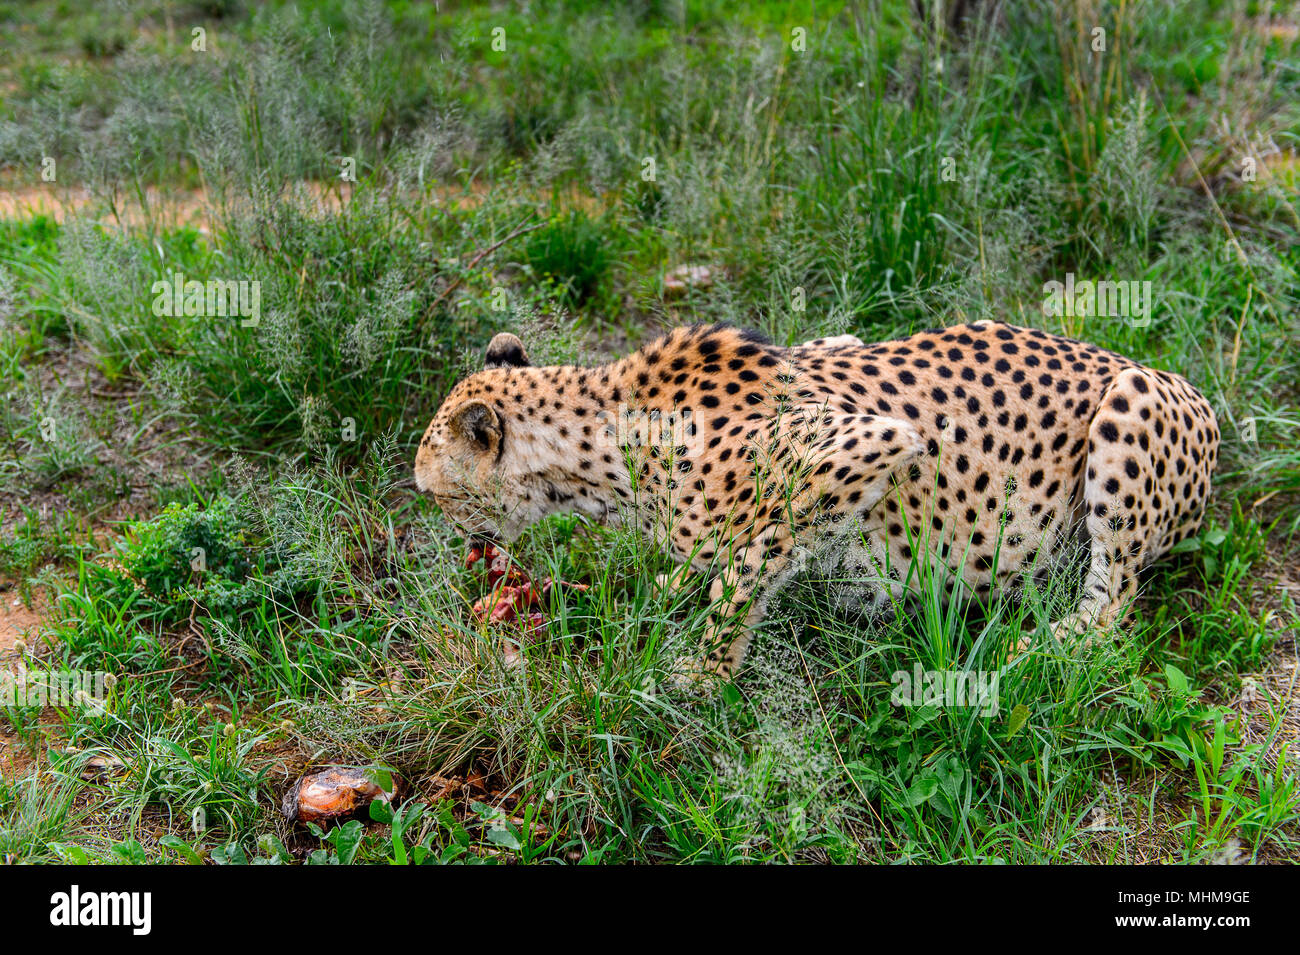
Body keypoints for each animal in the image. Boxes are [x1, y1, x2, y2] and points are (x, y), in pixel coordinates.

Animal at [415, 321, 1219, 680]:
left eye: (434, 493)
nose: (467, 545)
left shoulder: (866, 445)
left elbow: (742, 569)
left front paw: (701, 672)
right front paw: (662, 587)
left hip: (1133, 406)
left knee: (1114, 607)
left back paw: (1037, 644)